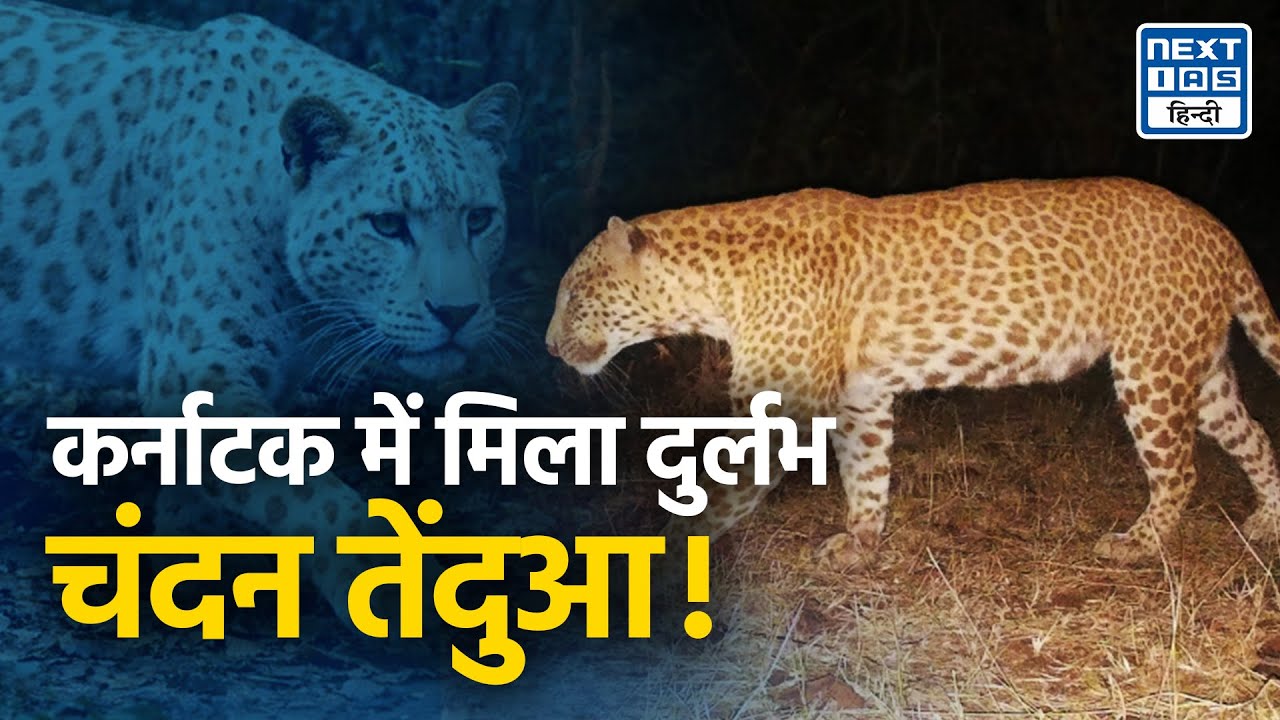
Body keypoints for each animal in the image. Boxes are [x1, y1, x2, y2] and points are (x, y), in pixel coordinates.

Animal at [0, 0, 520, 620]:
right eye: (388, 224)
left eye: (479, 219)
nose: (457, 312)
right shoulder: (194, 360)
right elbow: (306, 489)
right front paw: (391, 589)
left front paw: (186, 564)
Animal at [545, 177, 1280, 569]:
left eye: (574, 295)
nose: (549, 348)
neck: (710, 289)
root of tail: (1218, 229)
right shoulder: (863, 395)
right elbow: (867, 471)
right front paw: (861, 543)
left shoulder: (781, 405)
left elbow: (719, 488)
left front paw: (660, 554)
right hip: (1199, 368)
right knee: (1256, 437)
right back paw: (1267, 524)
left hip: (1151, 366)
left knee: (1179, 470)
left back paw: (1136, 545)